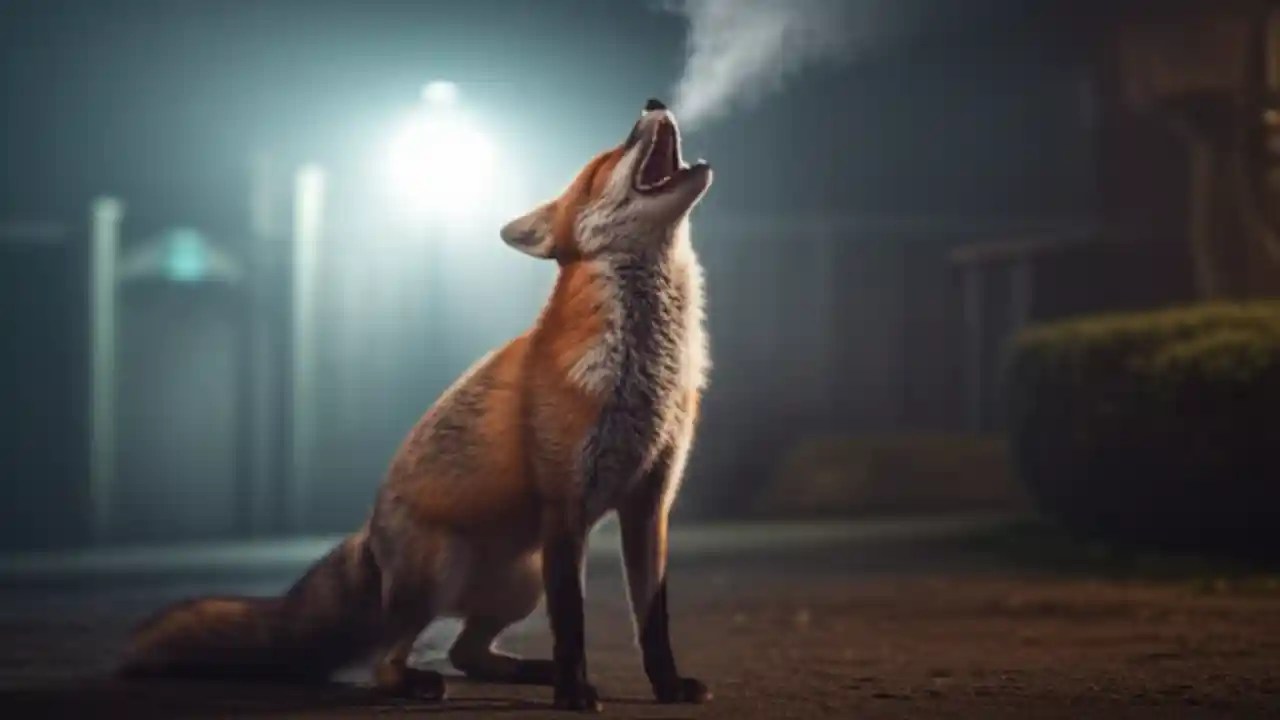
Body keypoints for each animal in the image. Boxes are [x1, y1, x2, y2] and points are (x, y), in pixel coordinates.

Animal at [118, 98, 714, 712]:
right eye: (608, 159)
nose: (652, 103)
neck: (645, 373)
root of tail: (369, 534)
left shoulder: (649, 504)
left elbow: (654, 622)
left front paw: (667, 686)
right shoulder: (564, 505)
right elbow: (572, 625)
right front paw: (574, 692)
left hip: (522, 584)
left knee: (466, 653)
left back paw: (527, 669)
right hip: (443, 573)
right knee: (391, 660)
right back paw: (425, 682)